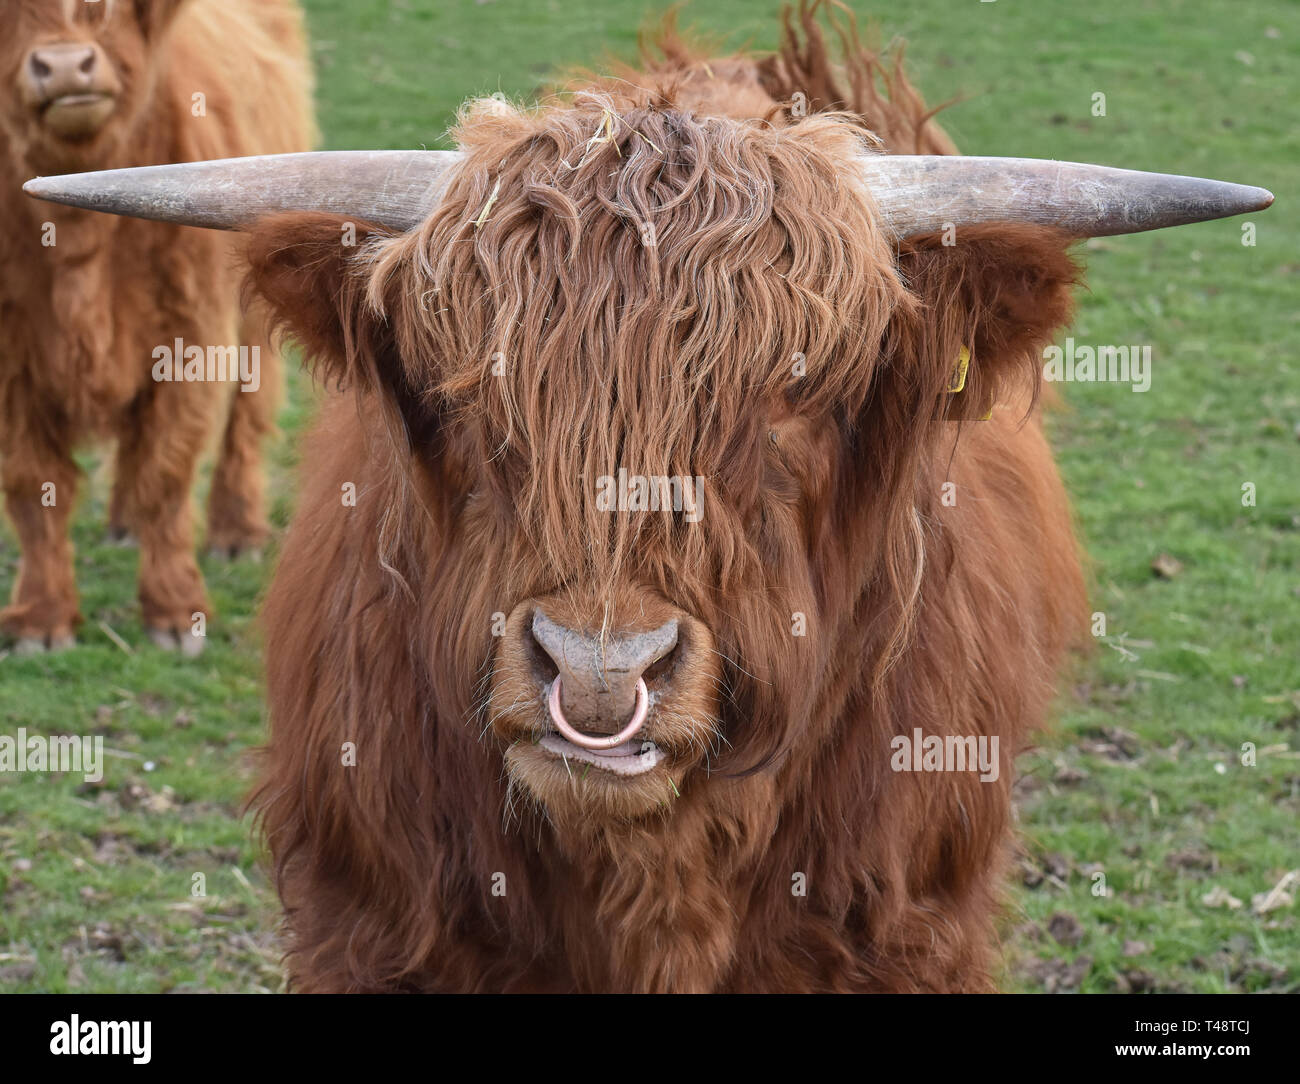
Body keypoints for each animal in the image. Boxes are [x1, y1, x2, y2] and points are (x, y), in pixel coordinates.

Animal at [0, 0, 315, 654]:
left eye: (107, 11)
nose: (64, 65)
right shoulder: (11, 361)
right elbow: (33, 484)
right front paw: (41, 618)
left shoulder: (191, 337)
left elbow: (166, 473)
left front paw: (174, 612)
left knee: (245, 421)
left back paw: (236, 532)